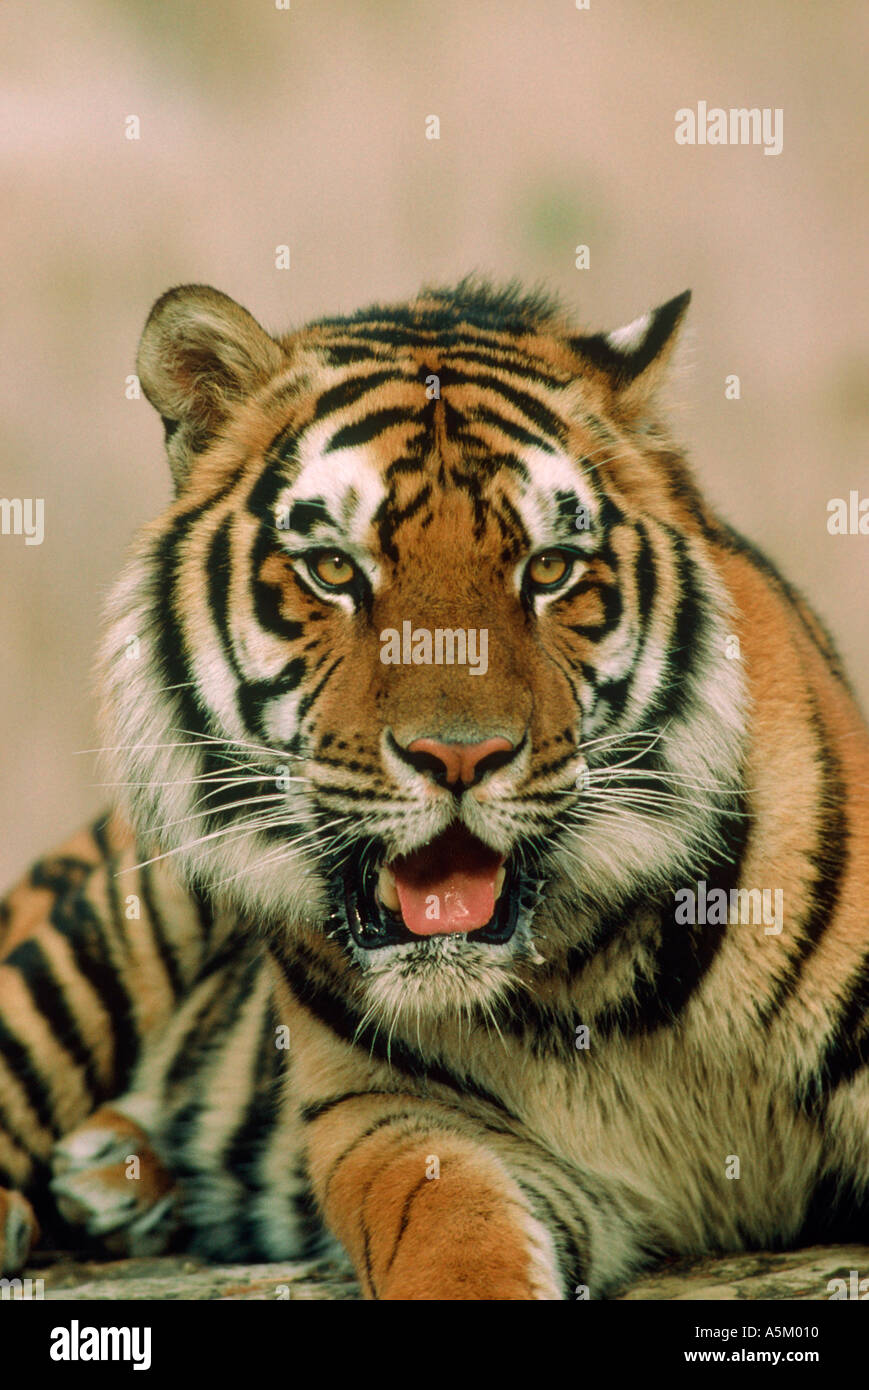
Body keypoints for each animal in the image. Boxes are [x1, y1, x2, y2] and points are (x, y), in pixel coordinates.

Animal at [1, 277, 867, 1300]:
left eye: (548, 569)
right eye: (333, 568)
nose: (460, 757)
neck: (587, 999)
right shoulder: (399, 1117)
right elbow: (453, 1238)